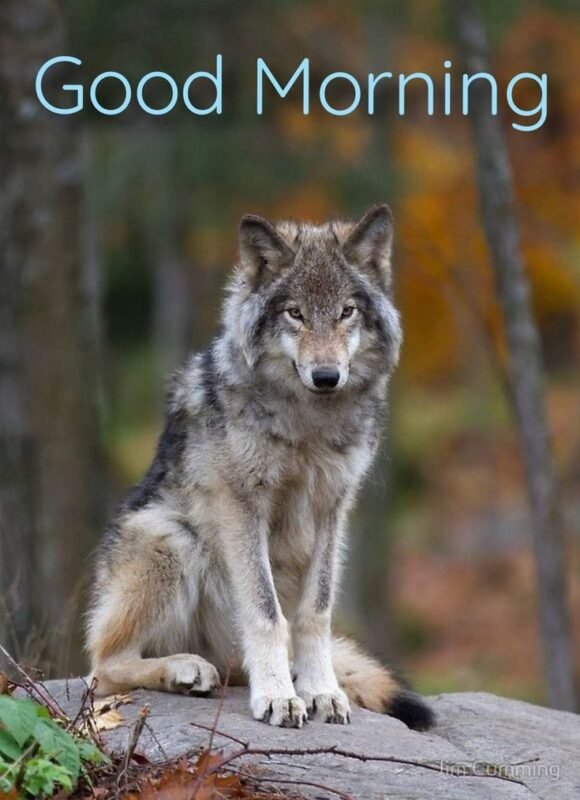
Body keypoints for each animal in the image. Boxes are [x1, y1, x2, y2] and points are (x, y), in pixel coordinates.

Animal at [86, 204, 434, 730]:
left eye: (346, 311)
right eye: (295, 313)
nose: (327, 375)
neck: (308, 422)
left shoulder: (333, 508)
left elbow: (315, 612)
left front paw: (320, 690)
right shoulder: (241, 503)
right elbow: (267, 612)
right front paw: (277, 697)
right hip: (172, 536)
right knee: (101, 669)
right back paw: (186, 669)